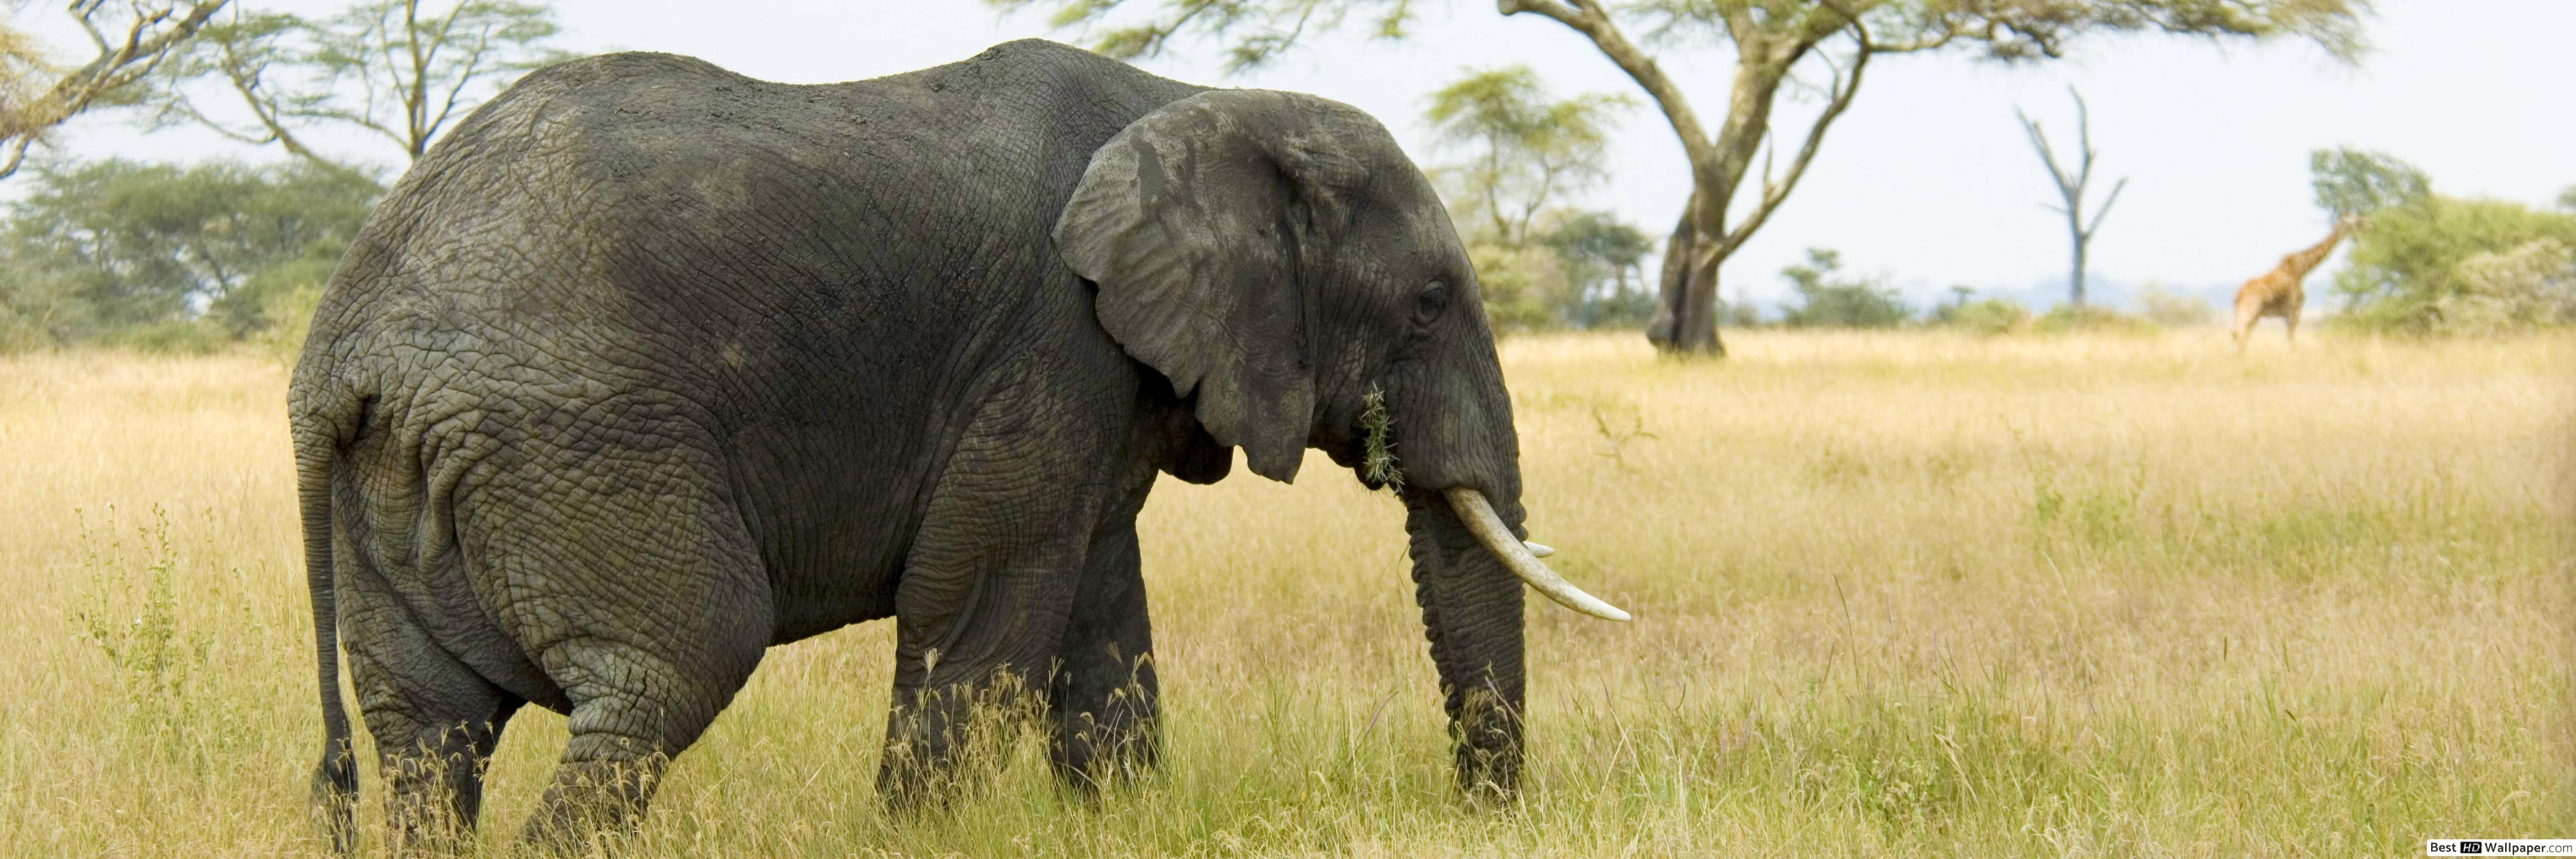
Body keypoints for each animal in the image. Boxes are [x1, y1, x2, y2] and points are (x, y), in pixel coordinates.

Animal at [289, 38, 1628, 852]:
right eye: (1427, 305)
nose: (1484, 814)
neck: (1190, 103)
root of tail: (340, 349)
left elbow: (1098, 615)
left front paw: (1118, 826)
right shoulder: (1050, 342)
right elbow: (981, 606)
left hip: (410, 475)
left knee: (431, 731)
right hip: (577, 438)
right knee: (669, 669)